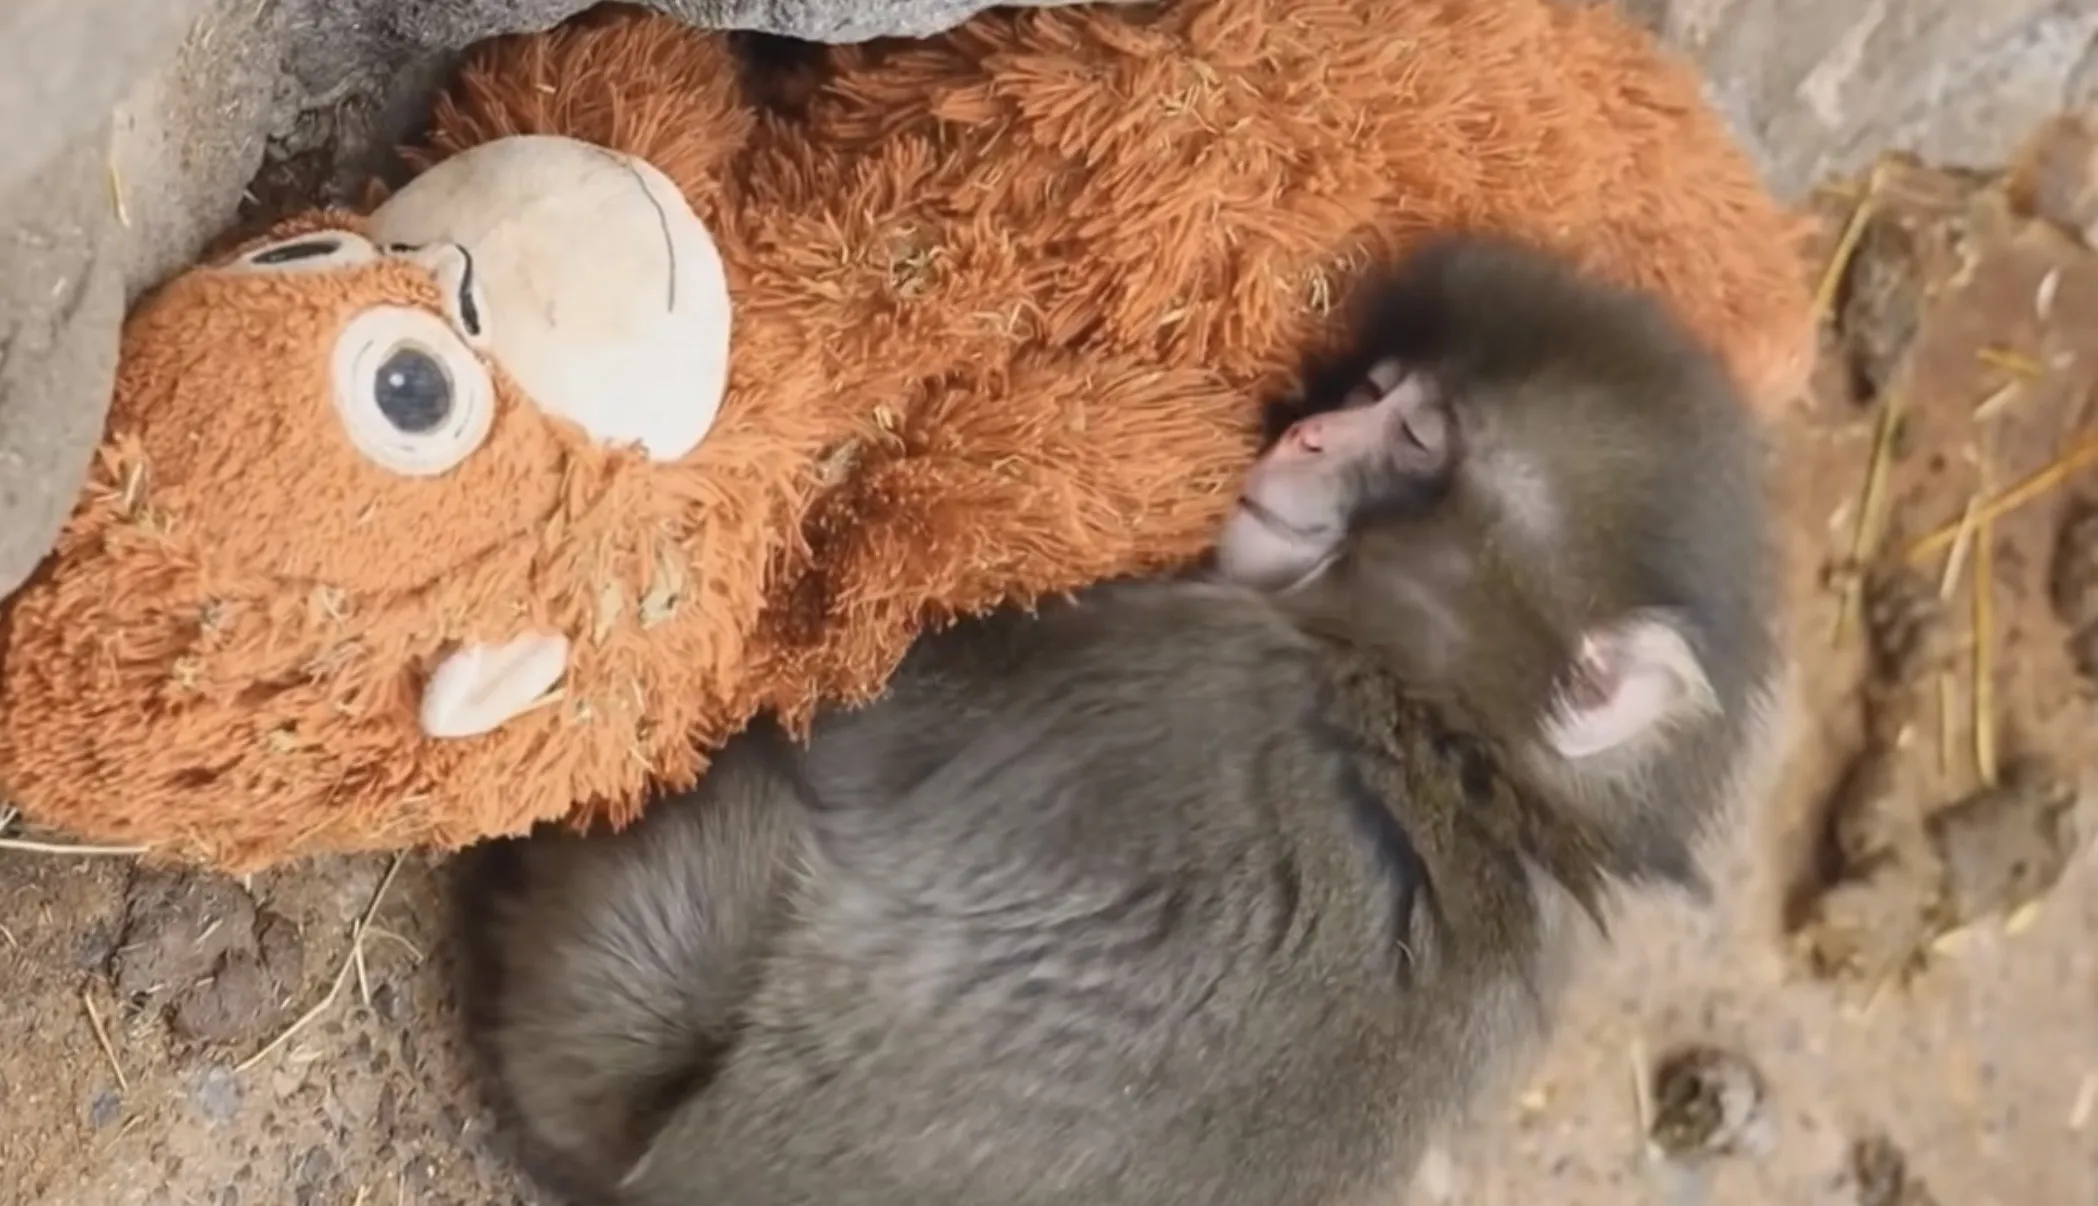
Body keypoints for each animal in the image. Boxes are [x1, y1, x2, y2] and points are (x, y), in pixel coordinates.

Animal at [456, 231, 1788, 1206]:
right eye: (1373, 394)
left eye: (1412, 439)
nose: (1307, 433)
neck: (1451, 734)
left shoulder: (1179, 672)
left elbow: (856, 739)